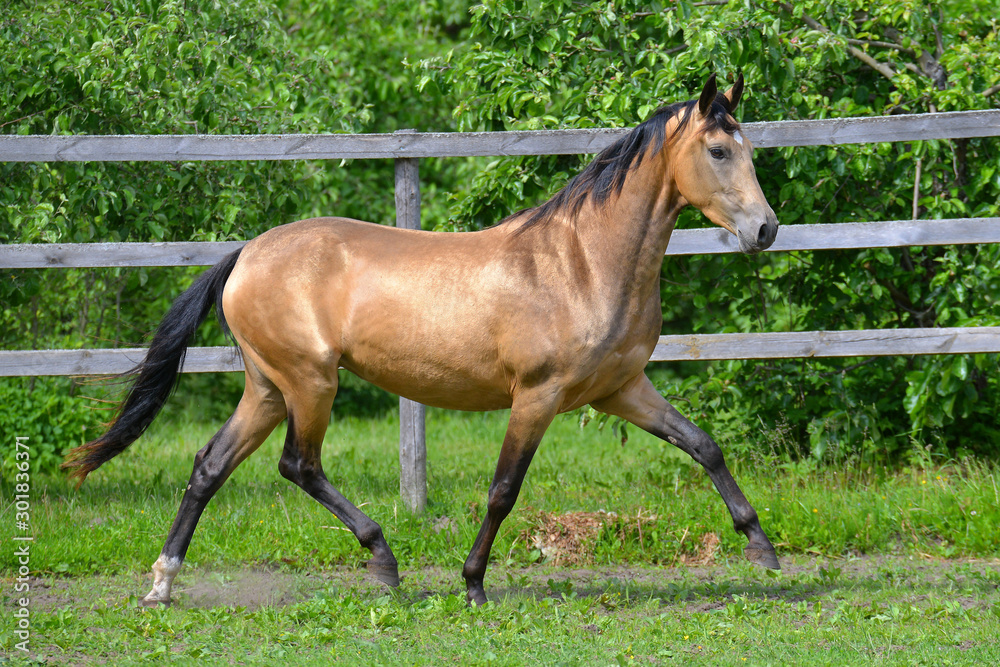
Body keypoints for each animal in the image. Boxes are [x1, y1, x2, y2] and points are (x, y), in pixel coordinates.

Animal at [63, 74, 780, 607]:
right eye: (719, 151)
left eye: (749, 150)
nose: (766, 229)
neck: (581, 262)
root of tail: (244, 255)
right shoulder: (537, 395)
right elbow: (503, 490)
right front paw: (473, 585)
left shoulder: (621, 389)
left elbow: (704, 446)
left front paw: (762, 547)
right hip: (310, 382)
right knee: (299, 464)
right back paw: (383, 560)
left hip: (267, 386)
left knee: (210, 466)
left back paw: (162, 583)